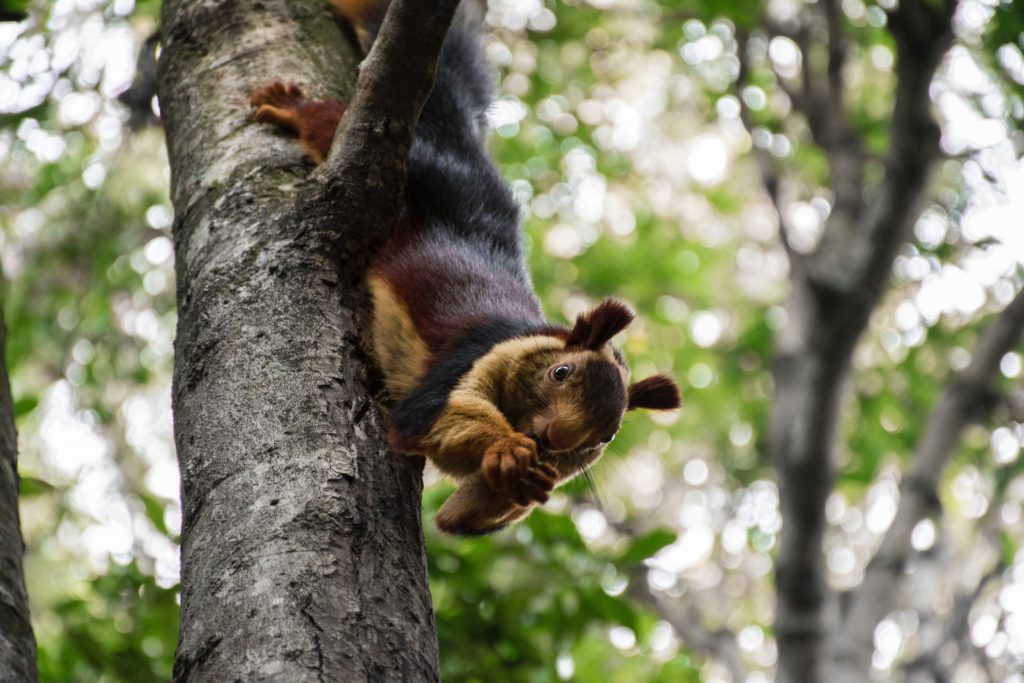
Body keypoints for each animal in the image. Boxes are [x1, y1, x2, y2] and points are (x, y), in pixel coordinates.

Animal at [249, 0, 682, 535]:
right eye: (560, 372)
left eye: (608, 435)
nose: (557, 437)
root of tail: (460, 147)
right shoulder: (472, 354)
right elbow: (430, 416)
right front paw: (505, 448)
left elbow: (459, 518)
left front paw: (517, 483)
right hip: (394, 164)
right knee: (328, 124)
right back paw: (288, 106)